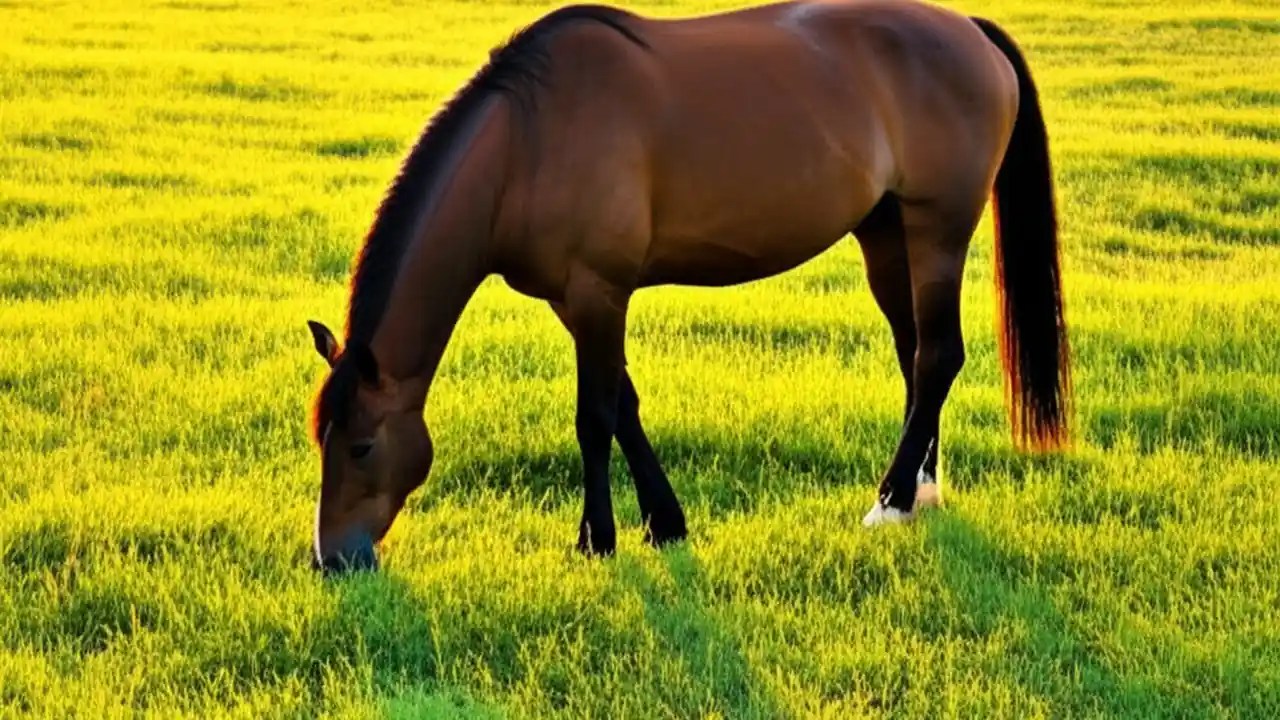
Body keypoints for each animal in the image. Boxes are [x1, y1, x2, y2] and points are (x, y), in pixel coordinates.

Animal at [305, 0, 1071, 573]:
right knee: (915, 357)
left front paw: (597, 539)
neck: (528, 141)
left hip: (939, 228)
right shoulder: (574, 299)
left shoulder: (598, 290)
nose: (333, 559)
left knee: (938, 355)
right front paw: (664, 523)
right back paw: (917, 492)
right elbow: (626, 405)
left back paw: (890, 501)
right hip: (887, 235)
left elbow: (595, 416)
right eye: (322, 440)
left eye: (362, 446)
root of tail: (971, 29)